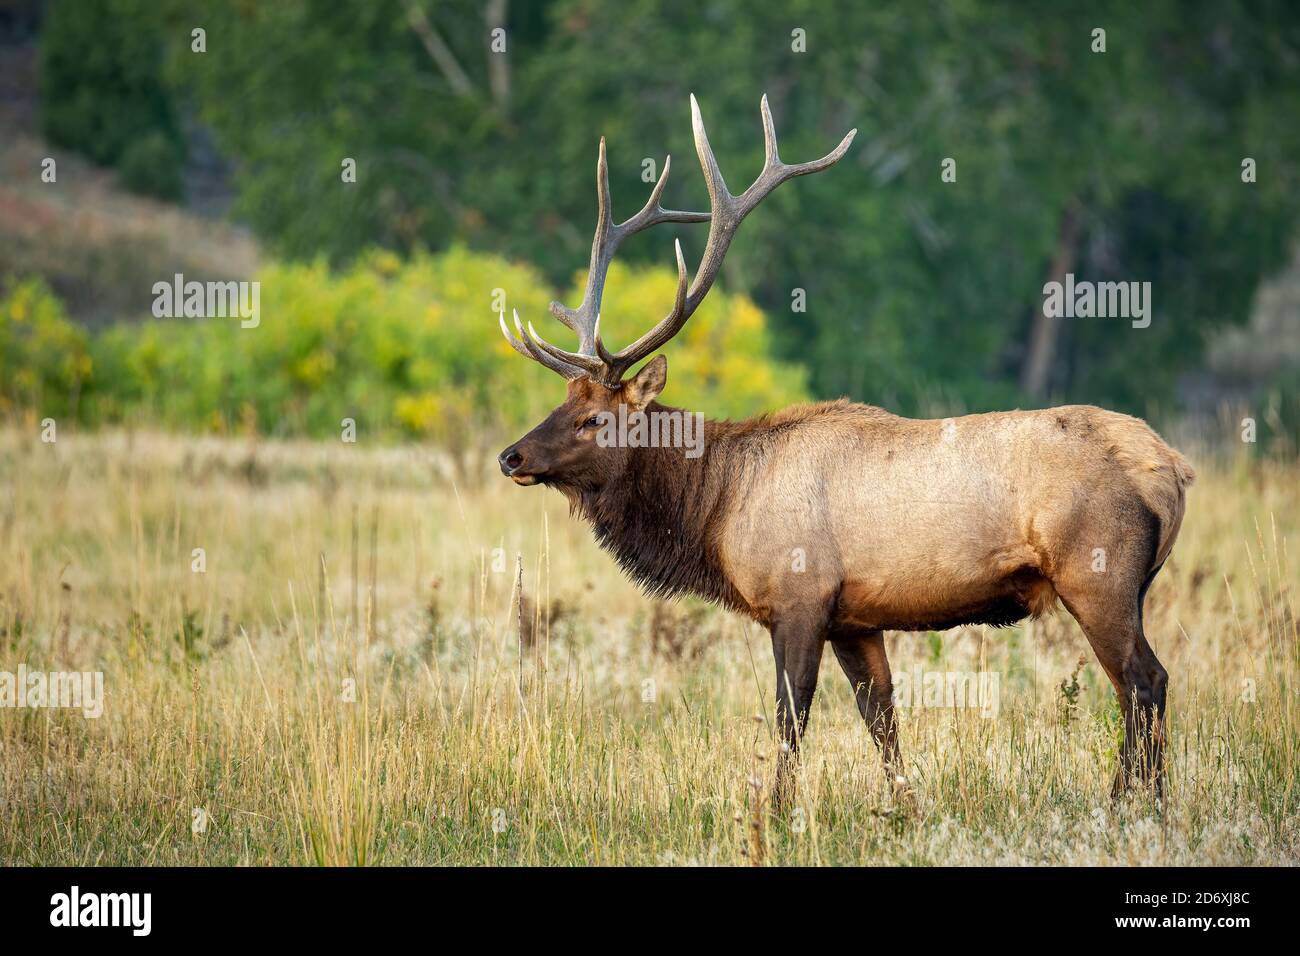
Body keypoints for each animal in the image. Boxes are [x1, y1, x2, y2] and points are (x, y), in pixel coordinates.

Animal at [496, 94, 1195, 804]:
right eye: (560, 402)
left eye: (592, 418)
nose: (512, 457)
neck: (719, 509)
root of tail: (1171, 472)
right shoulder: (856, 620)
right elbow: (881, 719)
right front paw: (904, 806)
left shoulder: (799, 599)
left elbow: (791, 721)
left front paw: (776, 811)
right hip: (1128, 586)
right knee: (1140, 688)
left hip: (1097, 575)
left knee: (1146, 683)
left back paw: (1133, 805)